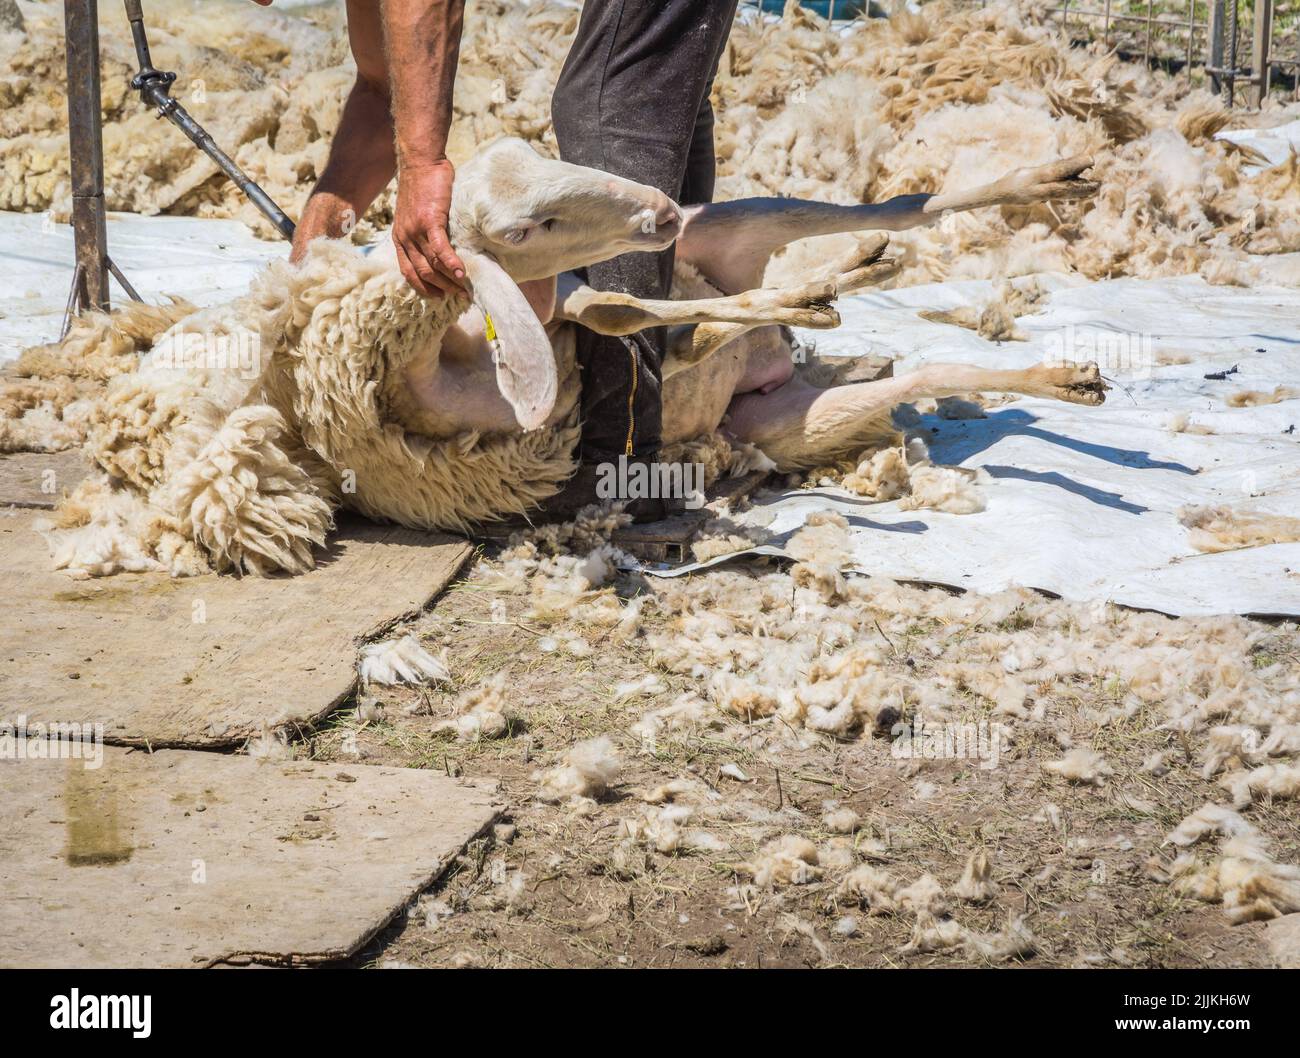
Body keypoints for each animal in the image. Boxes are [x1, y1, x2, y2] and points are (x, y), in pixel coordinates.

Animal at [5, 136, 1105, 578]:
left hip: (740, 220)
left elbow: (623, 308)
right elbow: (631, 315)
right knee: (921, 367)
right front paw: (786, 304)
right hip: (788, 416)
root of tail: (783, 379)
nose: (659, 211)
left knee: (897, 205)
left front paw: (789, 300)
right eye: (529, 223)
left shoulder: (568, 315)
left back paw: (1022, 194)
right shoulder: (544, 374)